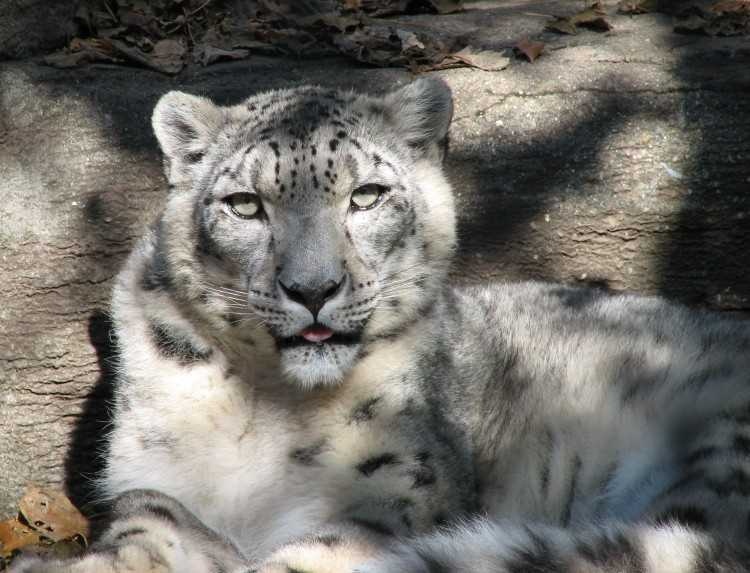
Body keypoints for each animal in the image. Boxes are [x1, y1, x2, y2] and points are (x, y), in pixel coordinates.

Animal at [12, 77, 750, 573]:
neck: (265, 403)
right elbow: (146, 512)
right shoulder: (149, 470)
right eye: (245, 205)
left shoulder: (399, 498)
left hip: (717, 448)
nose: (312, 288)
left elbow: (319, 551)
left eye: (365, 195)